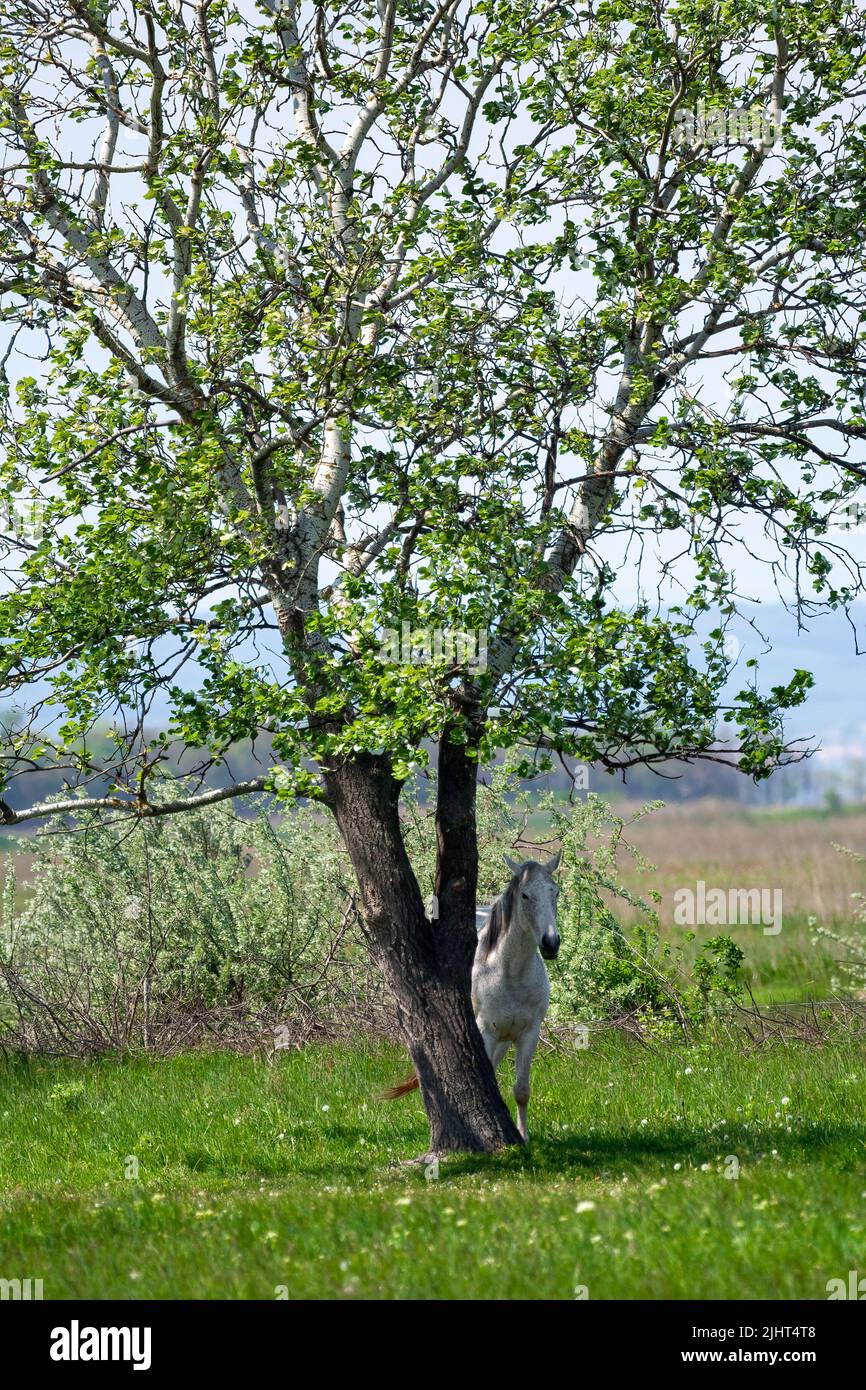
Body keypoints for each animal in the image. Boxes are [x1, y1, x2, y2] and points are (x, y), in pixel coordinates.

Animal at [383, 849, 561, 1142]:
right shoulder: (486, 1031)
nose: (551, 943)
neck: (510, 973)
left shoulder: (529, 1033)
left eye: (554, 892)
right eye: (525, 895)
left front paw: (523, 1137)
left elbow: (522, 1091)